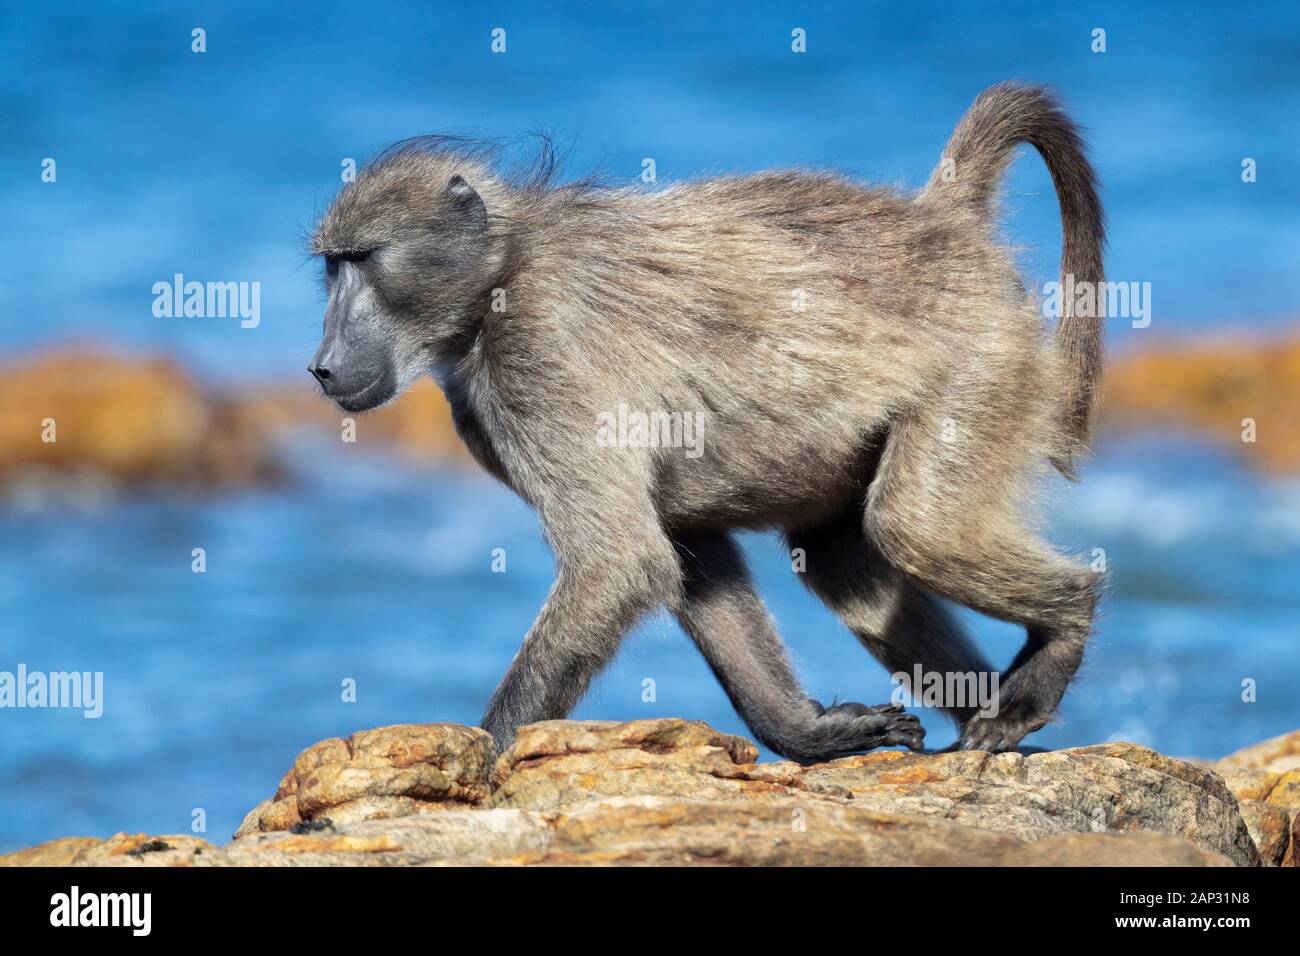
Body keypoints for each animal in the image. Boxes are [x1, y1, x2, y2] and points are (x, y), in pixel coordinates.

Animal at [308, 82, 1105, 761]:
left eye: (365, 259)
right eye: (331, 268)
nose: (321, 365)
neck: (501, 272)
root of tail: (944, 222)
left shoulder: (541, 353)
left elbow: (619, 561)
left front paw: (485, 759)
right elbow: (688, 551)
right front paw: (808, 732)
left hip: (980, 364)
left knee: (915, 529)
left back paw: (1055, 642)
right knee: (842, 558)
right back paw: (984, 709)